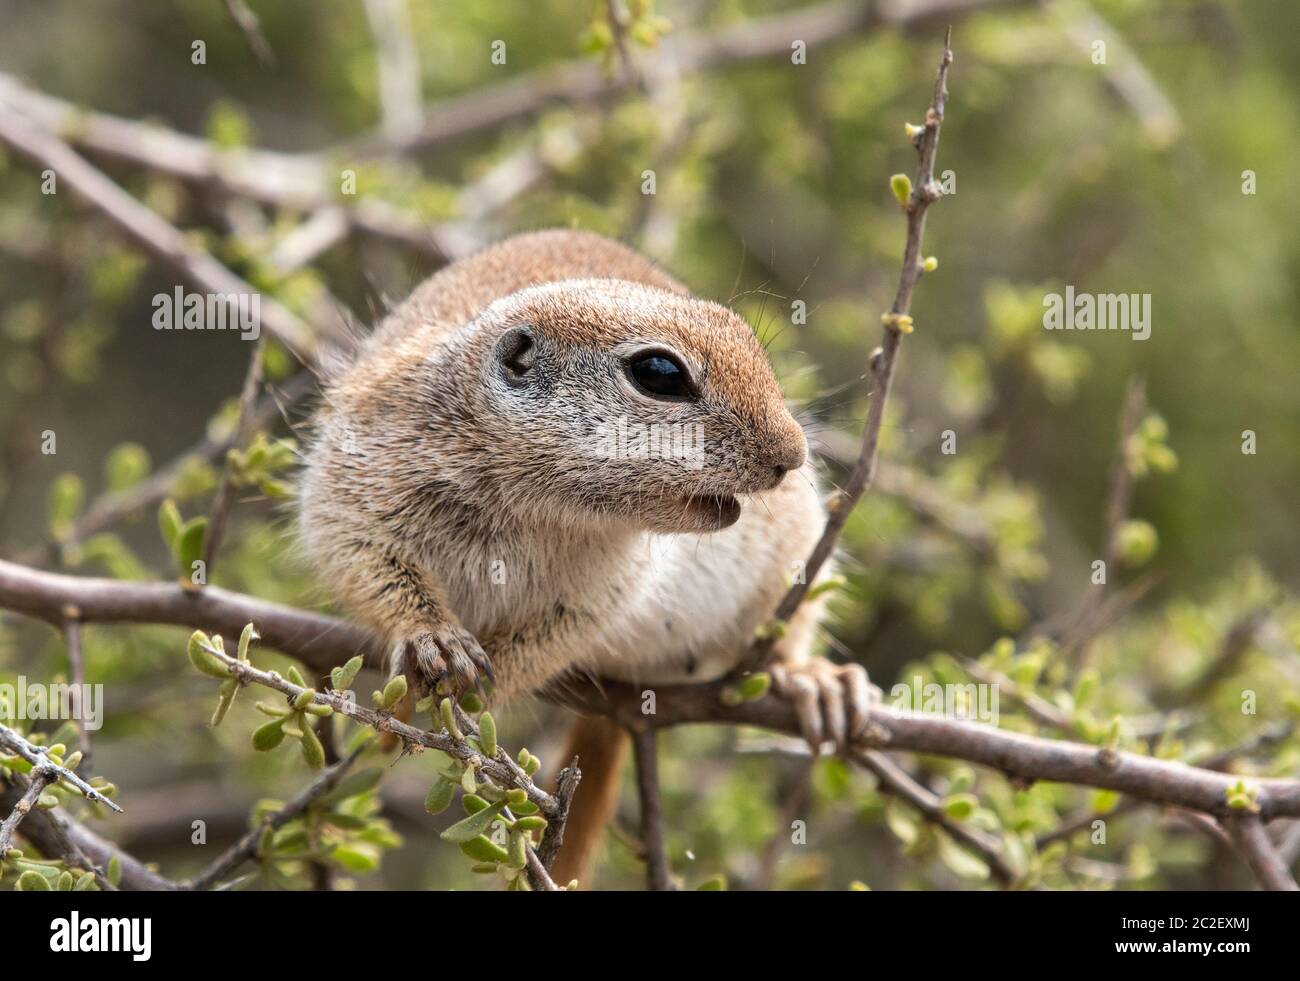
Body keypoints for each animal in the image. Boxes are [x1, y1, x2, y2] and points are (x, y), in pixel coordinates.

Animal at [299, 229, 872, 884]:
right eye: (659, 373)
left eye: (750, 339)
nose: (793, 455)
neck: (531, 499)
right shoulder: (361, 474)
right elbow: (361, 556)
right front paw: (432, 639)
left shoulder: (604, 589)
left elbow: (551, 641)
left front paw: (461, 697)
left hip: (795, 555)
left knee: (787, 634)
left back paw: (811, 680)